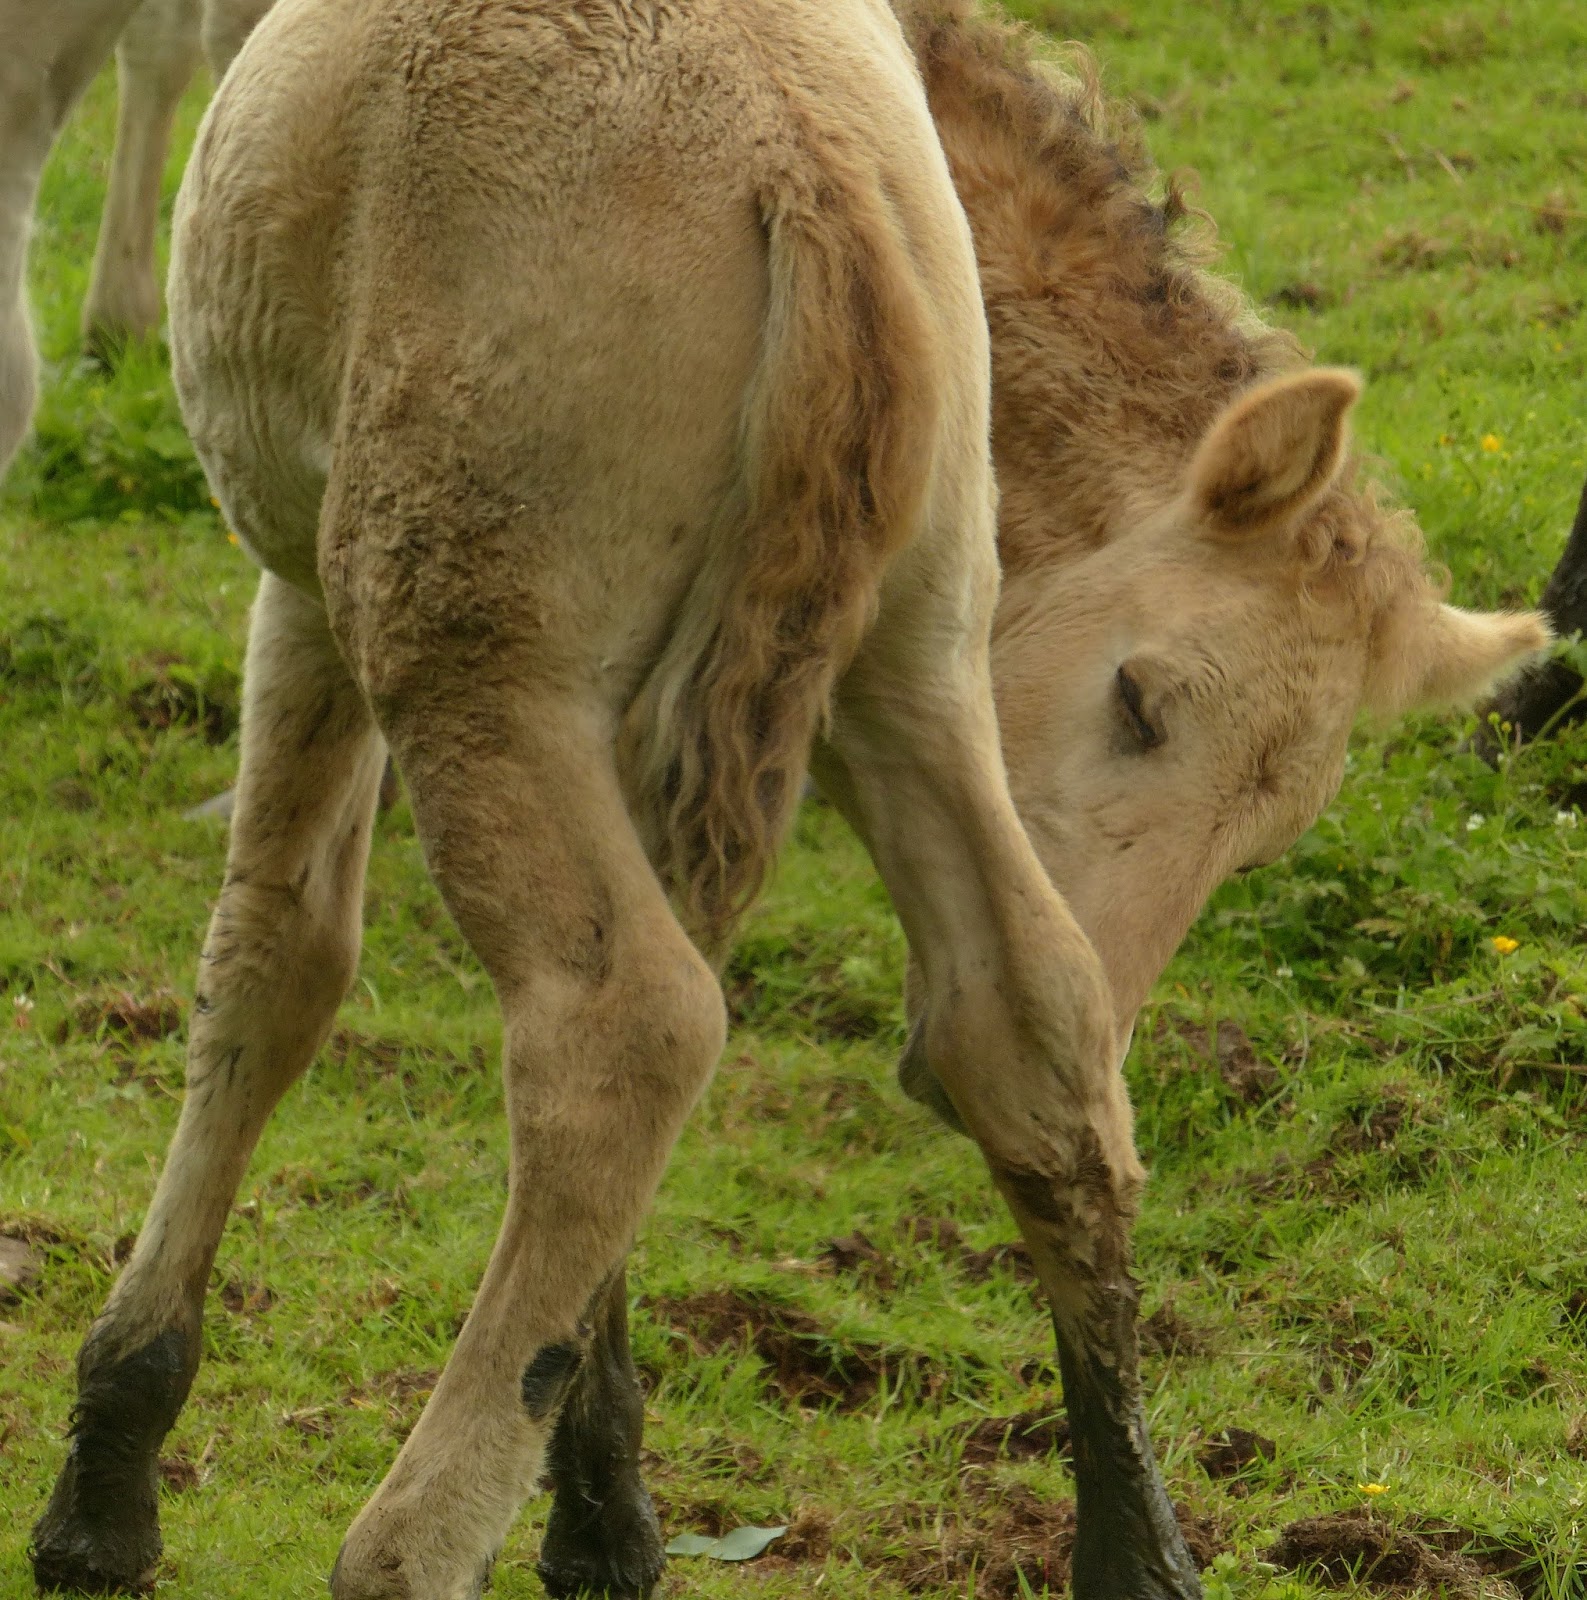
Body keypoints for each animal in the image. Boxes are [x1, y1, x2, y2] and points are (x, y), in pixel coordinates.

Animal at [30, 0, 1545, 1595]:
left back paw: (406, 1538)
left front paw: (114, 1464)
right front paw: (601, 1506)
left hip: (458, 640)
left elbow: (273, 966)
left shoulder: (307, 594)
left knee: (621, 1030)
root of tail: (801, 164)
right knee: (1027, 1025)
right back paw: (1134, 1543)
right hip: (910, 665)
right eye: (1136, 704)